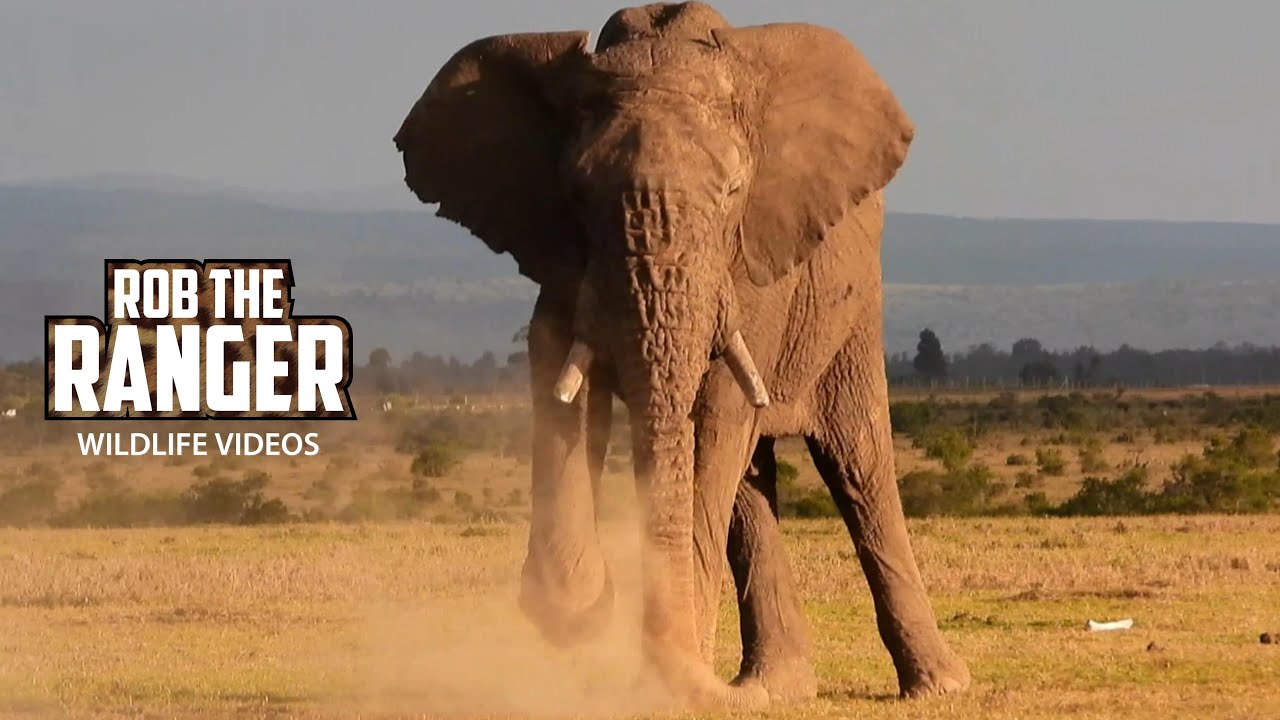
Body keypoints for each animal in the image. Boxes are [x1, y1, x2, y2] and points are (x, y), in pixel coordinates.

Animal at [394, 1, 969, 707]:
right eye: (576, 194)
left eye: (733, 192)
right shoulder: (560, 255)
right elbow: (560, 375)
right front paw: (577, 608)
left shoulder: (752, 268)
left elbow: (717, 419)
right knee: (751, 481)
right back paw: (774, 689)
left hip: (854, 308)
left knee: (857, 463)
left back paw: (935, 687)